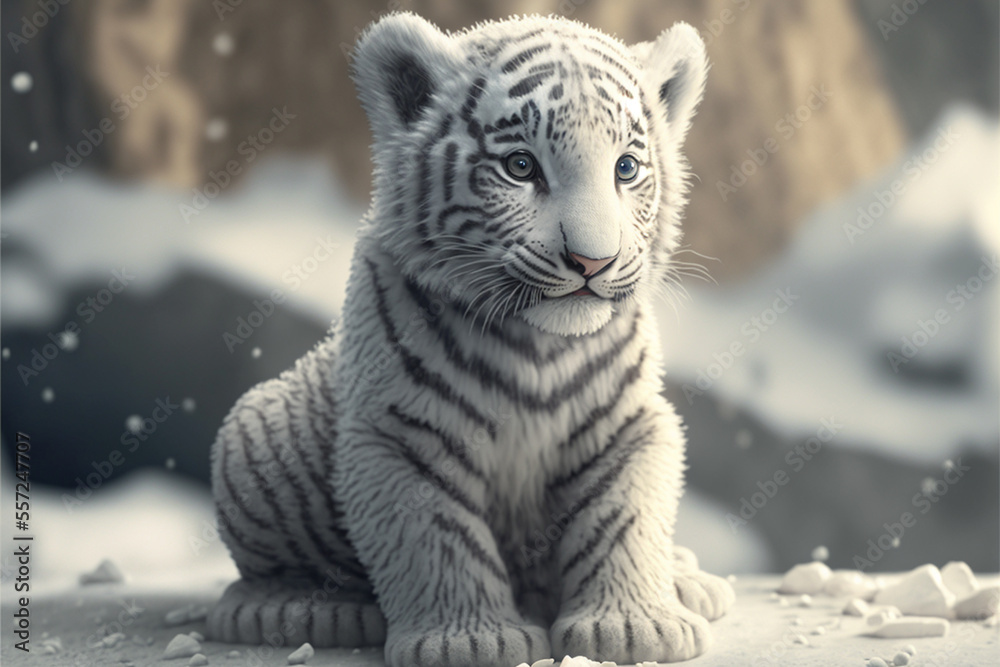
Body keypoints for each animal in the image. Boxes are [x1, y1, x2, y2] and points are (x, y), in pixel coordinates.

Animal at [207, 11, 734, 667]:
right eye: (521, 167)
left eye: (626, 168)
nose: (593, 261)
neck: (541, 346)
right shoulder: (398, 434)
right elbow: (437, 534)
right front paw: (470, 640)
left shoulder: (630, 423)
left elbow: (624, 517)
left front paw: (638, 627)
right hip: (254, 437)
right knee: (263, 572)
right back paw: (300, 611)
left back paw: (691, 581)